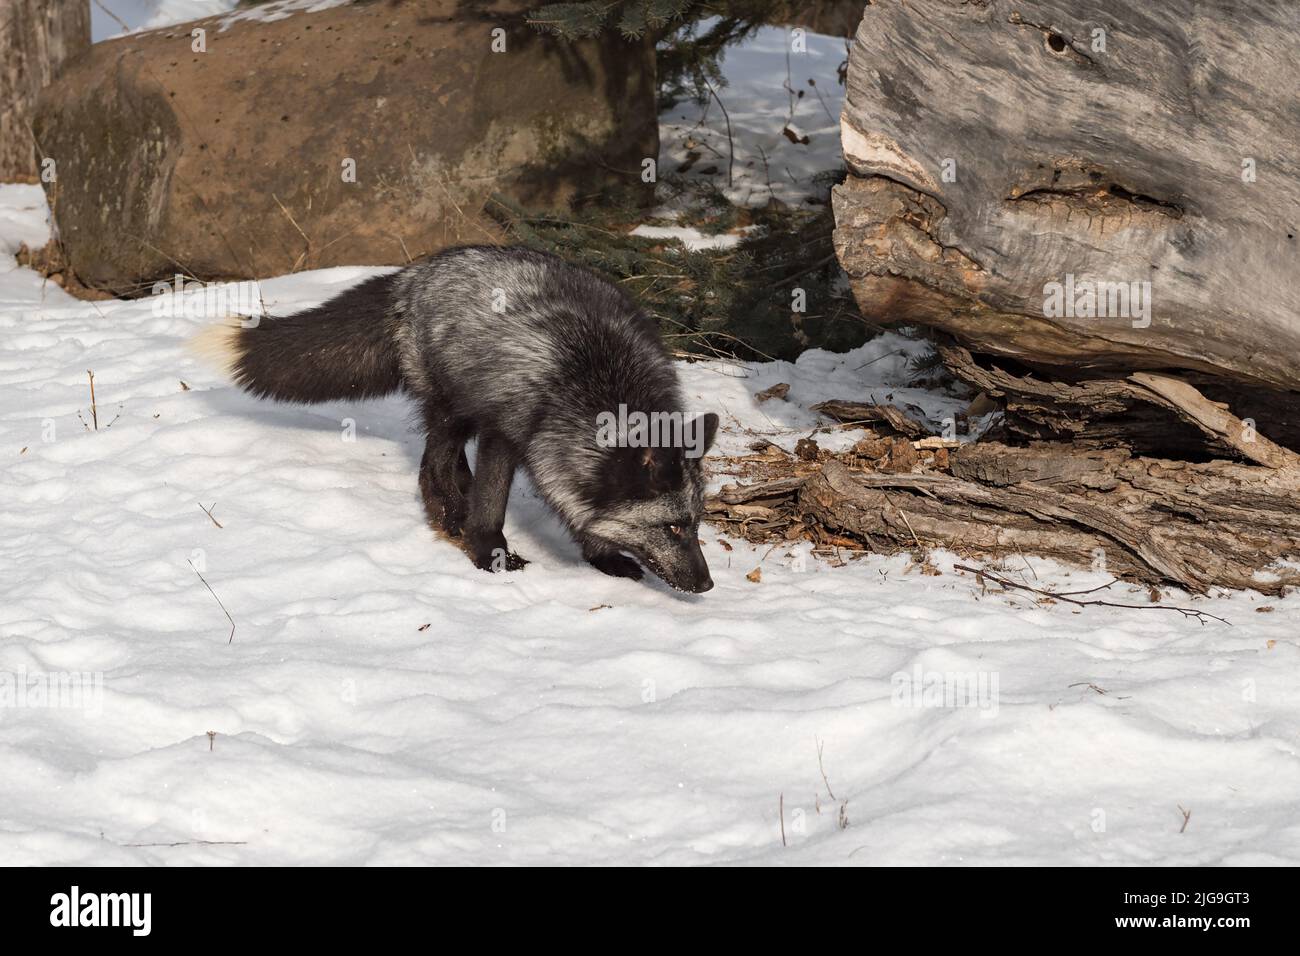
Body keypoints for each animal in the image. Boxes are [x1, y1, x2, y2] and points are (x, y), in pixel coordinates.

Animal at [190, 245, 718, 593]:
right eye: (672, 528)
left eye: (695, 524)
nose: (707, 585)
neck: (599, 381)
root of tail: (417, 270)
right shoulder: (506, 432)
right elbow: (492, 503)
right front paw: (488, 552)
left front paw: (602, 557)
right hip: (453, 409)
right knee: (433, 465)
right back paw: (449, 513)